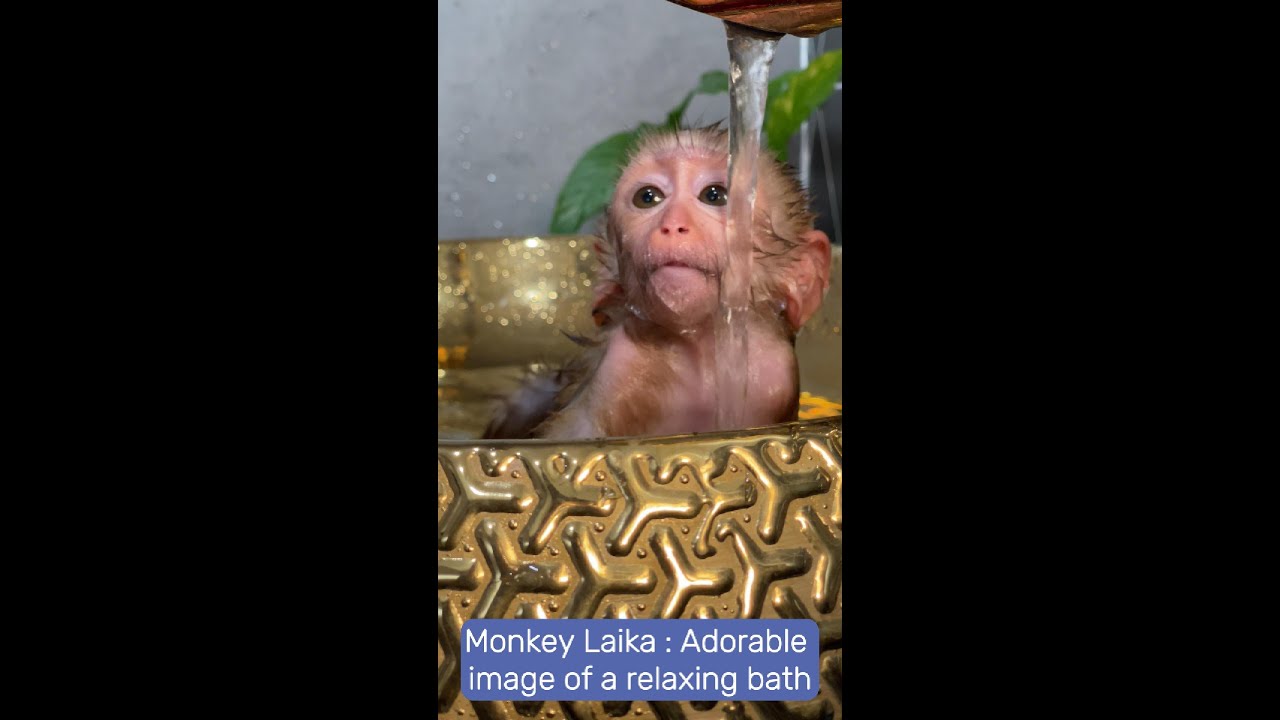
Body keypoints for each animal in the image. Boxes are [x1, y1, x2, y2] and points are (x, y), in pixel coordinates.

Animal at [483, 125, 831, 440]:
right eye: (648, 197)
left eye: (715, 195)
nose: (672, 225)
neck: (699, 350)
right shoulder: (621, 370)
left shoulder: (772, 376)